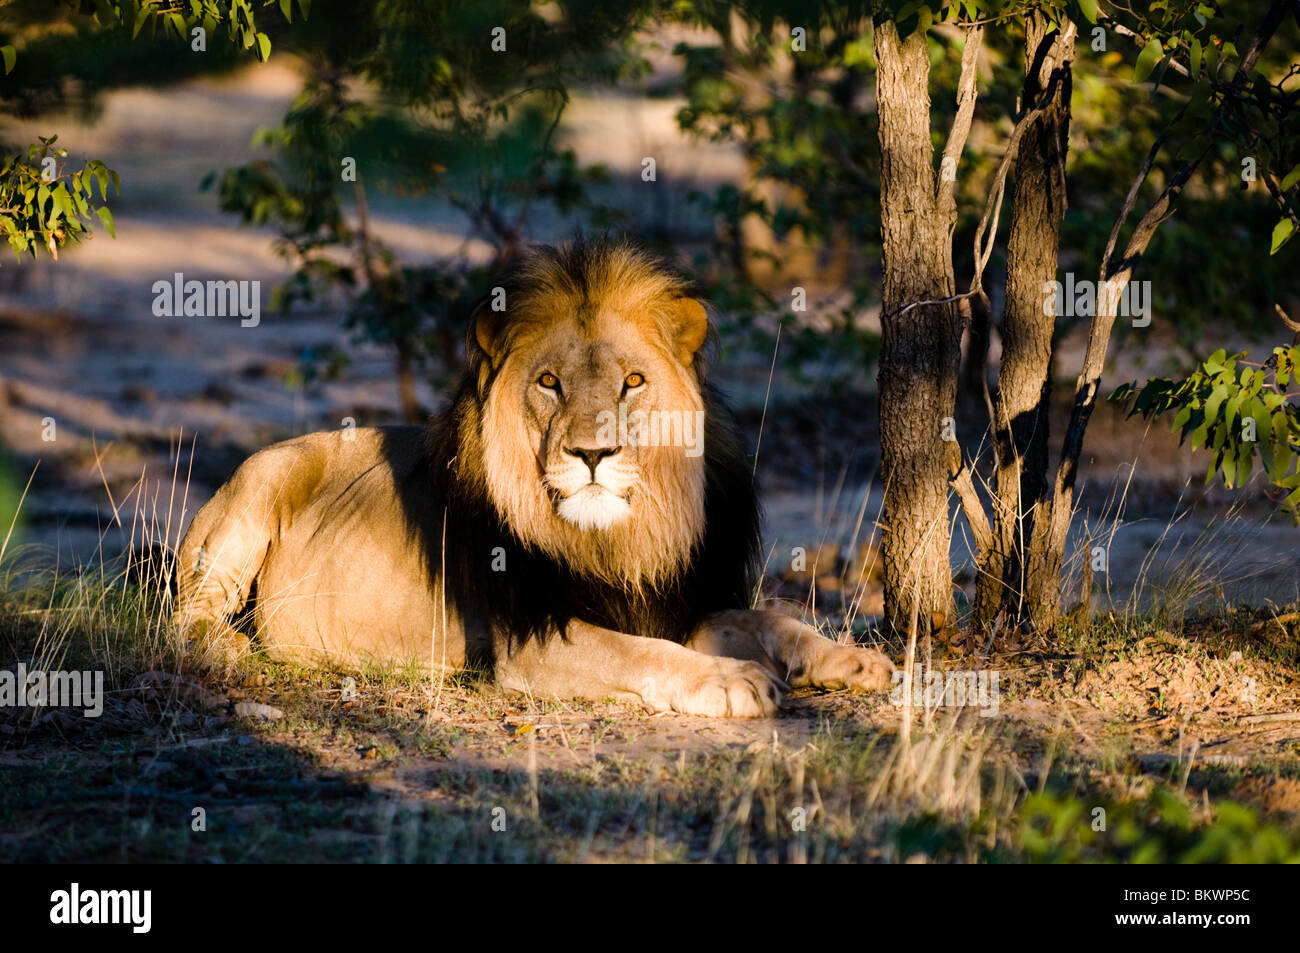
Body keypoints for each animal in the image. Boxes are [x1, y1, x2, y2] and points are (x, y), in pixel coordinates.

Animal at [173, 238, 894, 716]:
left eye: (634, 381)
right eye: (549, 382)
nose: (592, 454)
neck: (622, 538)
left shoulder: (673, 602)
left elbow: (771, 620)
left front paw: (849, 658)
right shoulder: (532, 639)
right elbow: (642, 654)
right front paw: (732, 681)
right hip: (259, 485)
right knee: (185, 613)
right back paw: (228, 648)